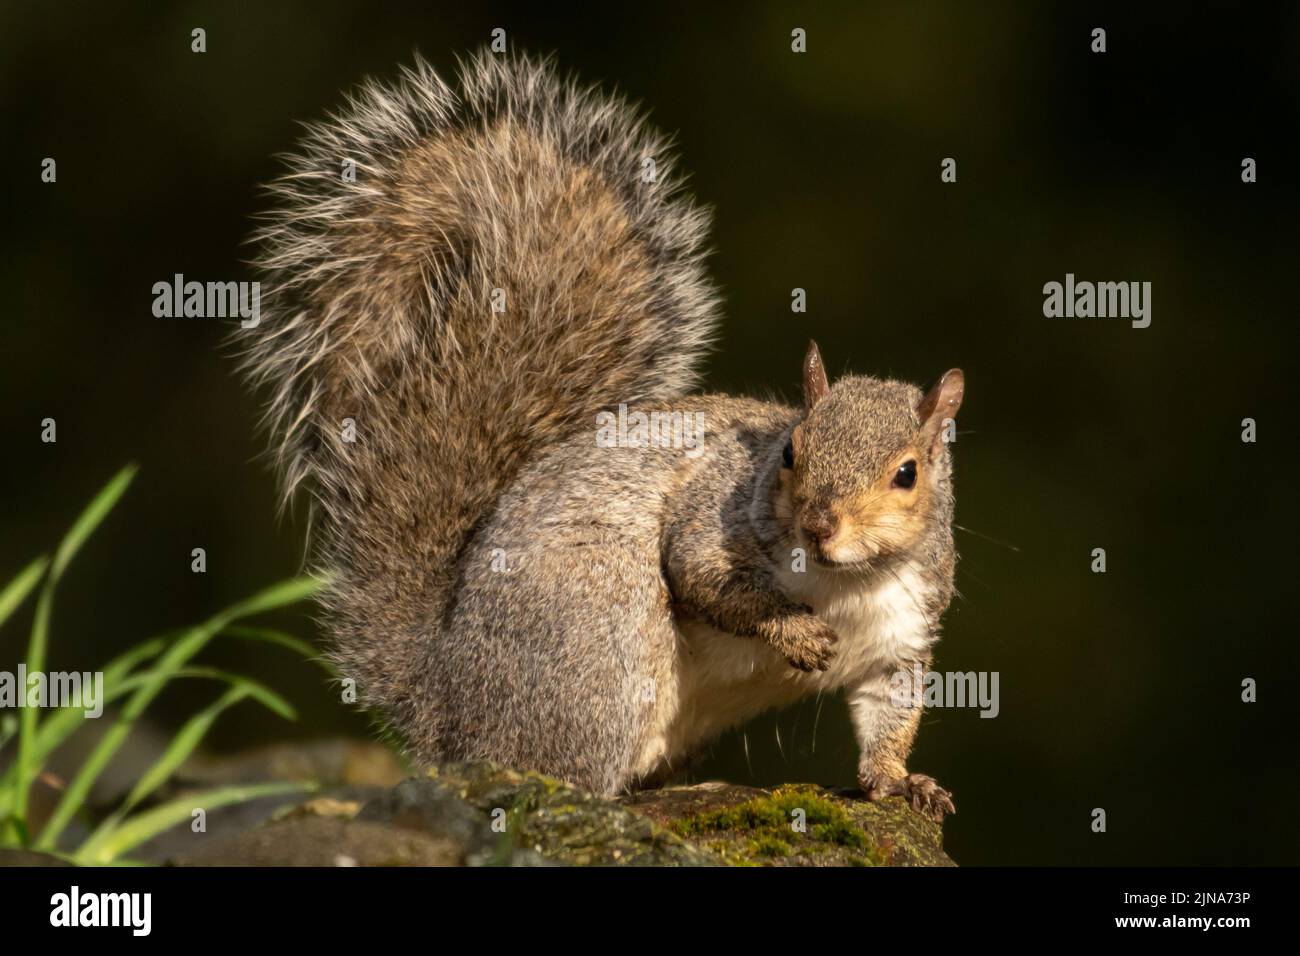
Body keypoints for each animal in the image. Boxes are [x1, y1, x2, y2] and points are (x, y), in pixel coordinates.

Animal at [237, 51, 965, 821]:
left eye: (908, 473)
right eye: (792, 451)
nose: (819, 524)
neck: (845, 580)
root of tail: (447, 708)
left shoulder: (902, 634)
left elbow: (889, 715)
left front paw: (900, 781)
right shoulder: (711, 515)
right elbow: (702, 574)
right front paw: (792, 632)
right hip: (600, 636)